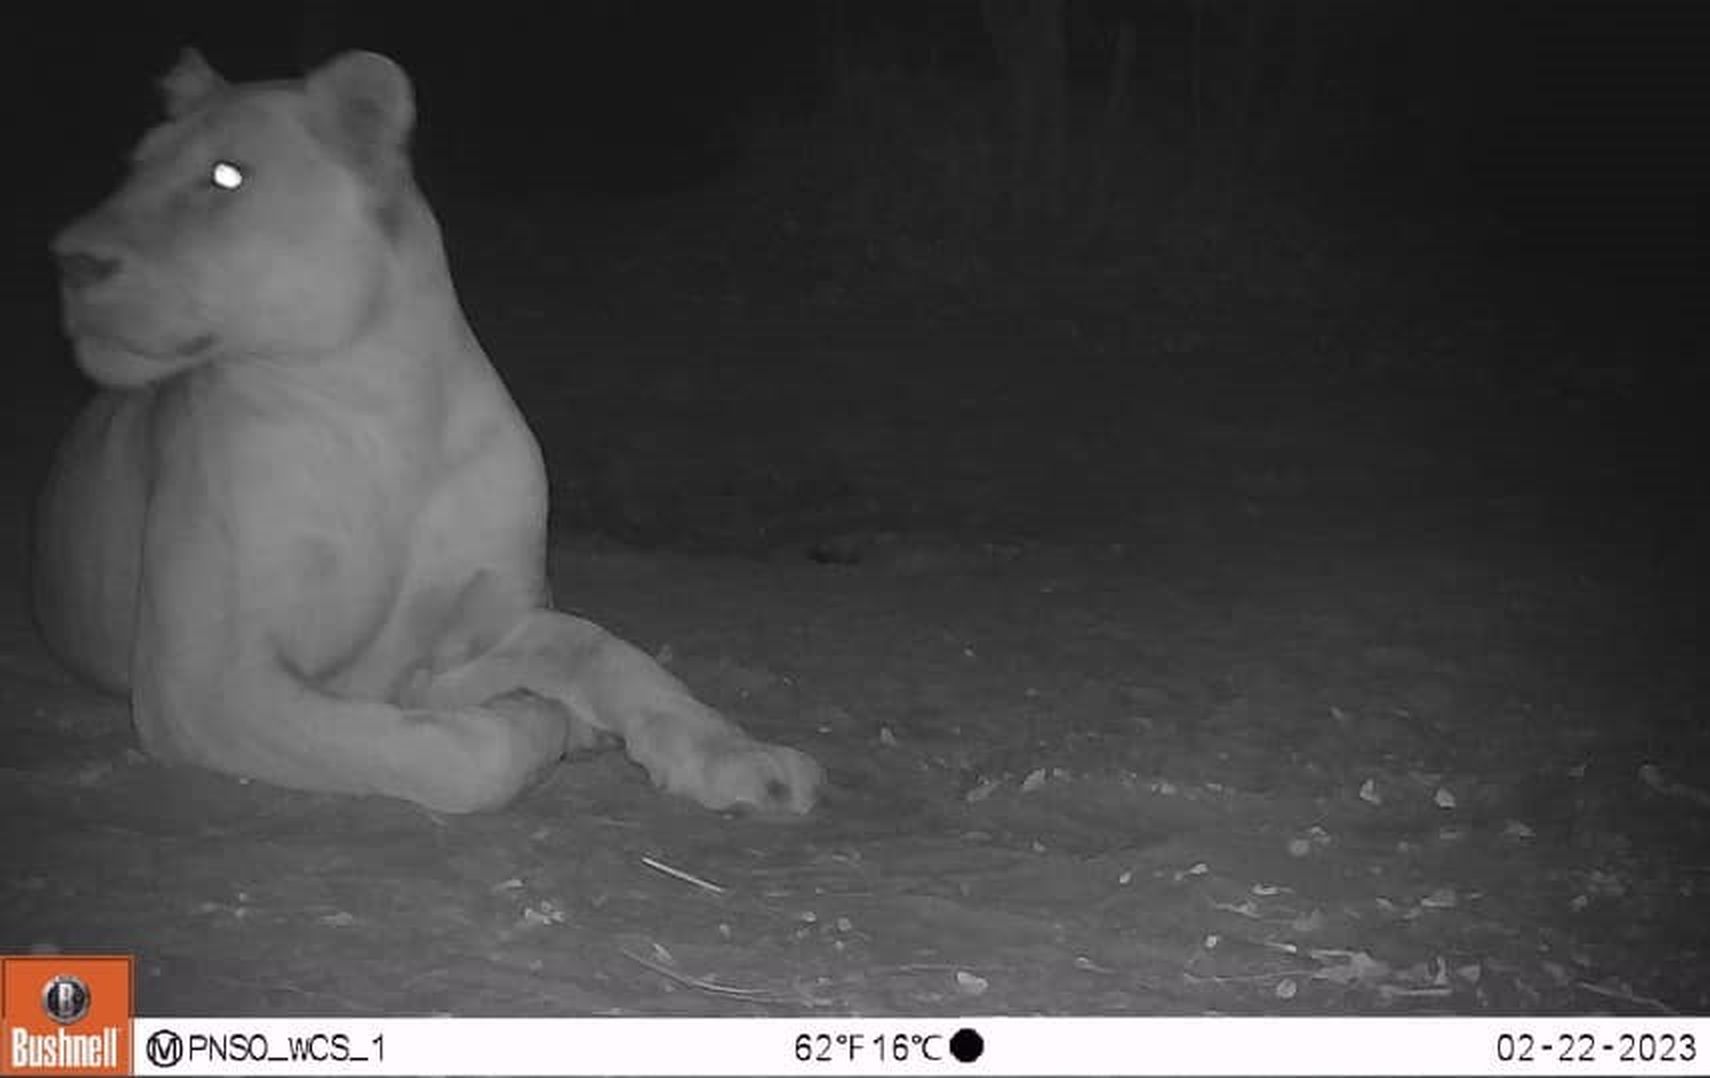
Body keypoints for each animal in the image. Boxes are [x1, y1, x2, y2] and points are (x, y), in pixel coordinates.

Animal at [32, 49, 824, 815]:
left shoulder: (483, 622)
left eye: (226, 175)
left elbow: (605, 651)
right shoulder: (204, 686)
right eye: (135, 166)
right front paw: (540, 721)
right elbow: (459, 750)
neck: (386, 407)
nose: (69, 259)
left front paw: (746, 762)